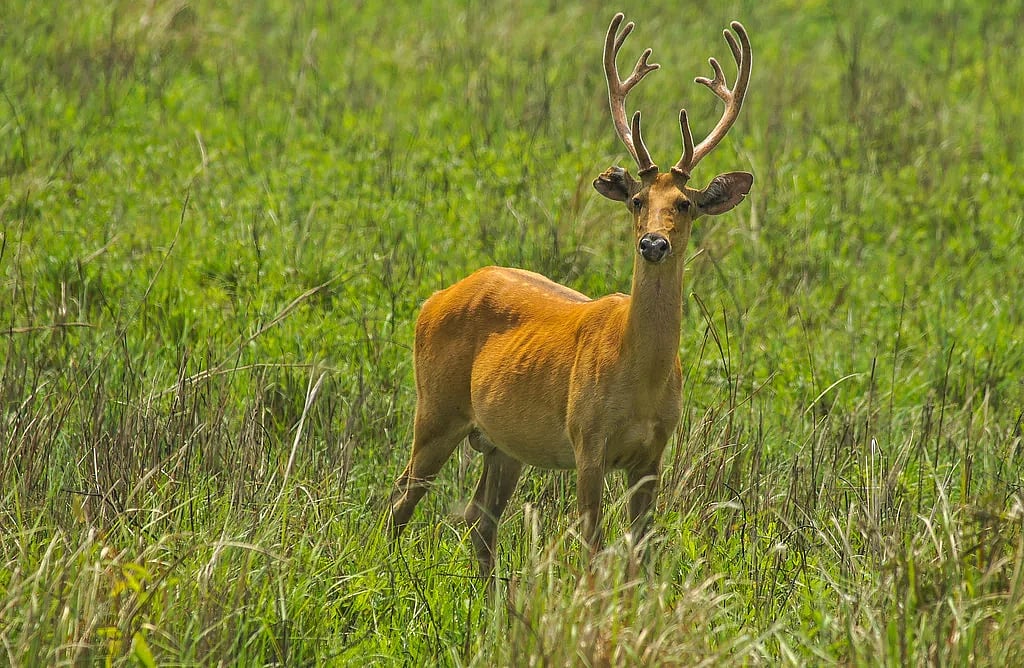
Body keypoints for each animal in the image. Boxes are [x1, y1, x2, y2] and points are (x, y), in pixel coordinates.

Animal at [389, 12, 753, 579]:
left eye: (686, 204)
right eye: (637, 200)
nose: (654, 243)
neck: (638, 374)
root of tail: (432, 300)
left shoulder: (653, 454)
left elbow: (641, 551)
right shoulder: (587, 438)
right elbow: (593, 545)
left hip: (502, 443)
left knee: (478, 518)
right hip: (436, 409)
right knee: (401, 499)